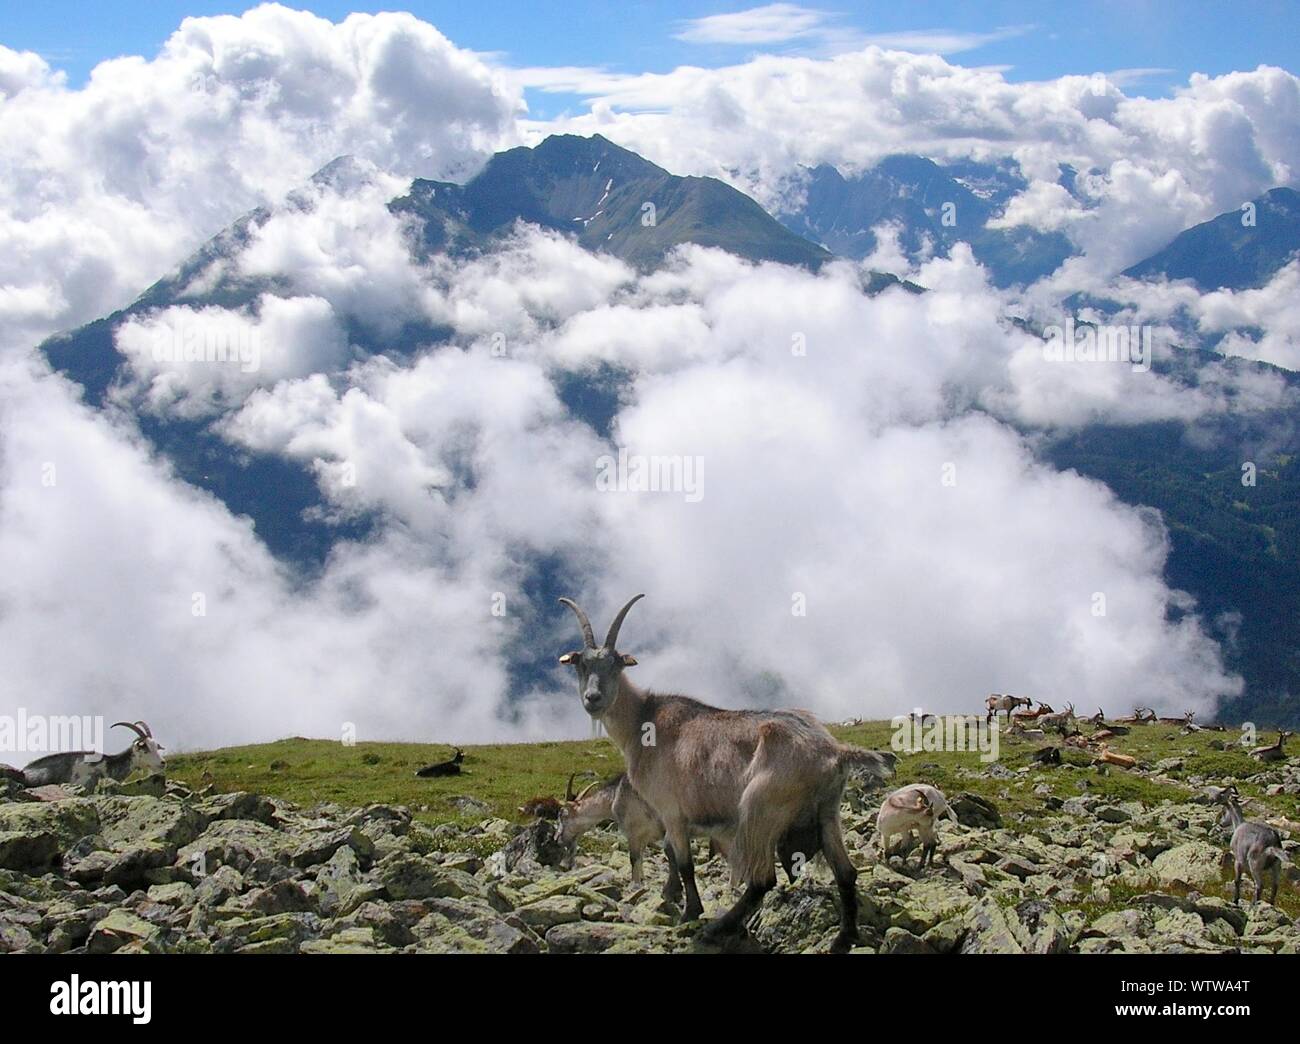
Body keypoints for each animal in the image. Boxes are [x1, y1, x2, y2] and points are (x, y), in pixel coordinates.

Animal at [558, 594, 895, 952]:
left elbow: (684, 863)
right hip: (827, 812)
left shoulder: (672, 811)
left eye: (615, 664)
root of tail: (833, 751)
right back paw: (843, 938)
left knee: (763, 879)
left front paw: (690, 912)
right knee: (846, 873)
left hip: (761, 808)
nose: (593, 699)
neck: (642, 721)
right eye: (581, 665)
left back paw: (718, 928)